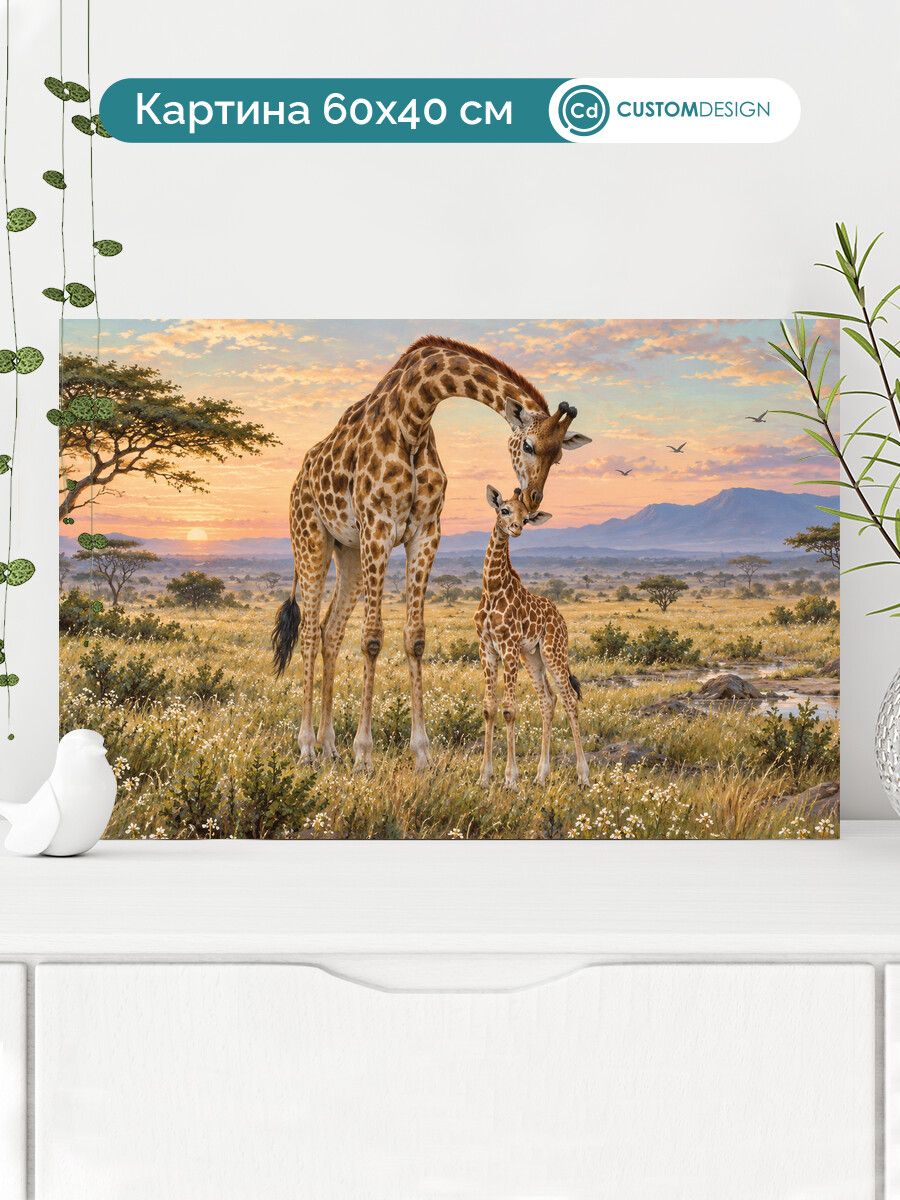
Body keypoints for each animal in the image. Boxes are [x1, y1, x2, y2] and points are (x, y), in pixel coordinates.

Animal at [475, 485, 589, 790]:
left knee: (569, 700)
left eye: (526, 518)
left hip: (553, 651)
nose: (516, 528)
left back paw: (583, 775)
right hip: (533, 656)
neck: (492, 589)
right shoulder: (487, 649)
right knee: (548, 700)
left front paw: (510, 779)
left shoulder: (508, 647)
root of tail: (561, 618)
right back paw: (541, 775)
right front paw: (485, 777)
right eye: (504, 510)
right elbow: (489, 708)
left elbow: (509, 710)